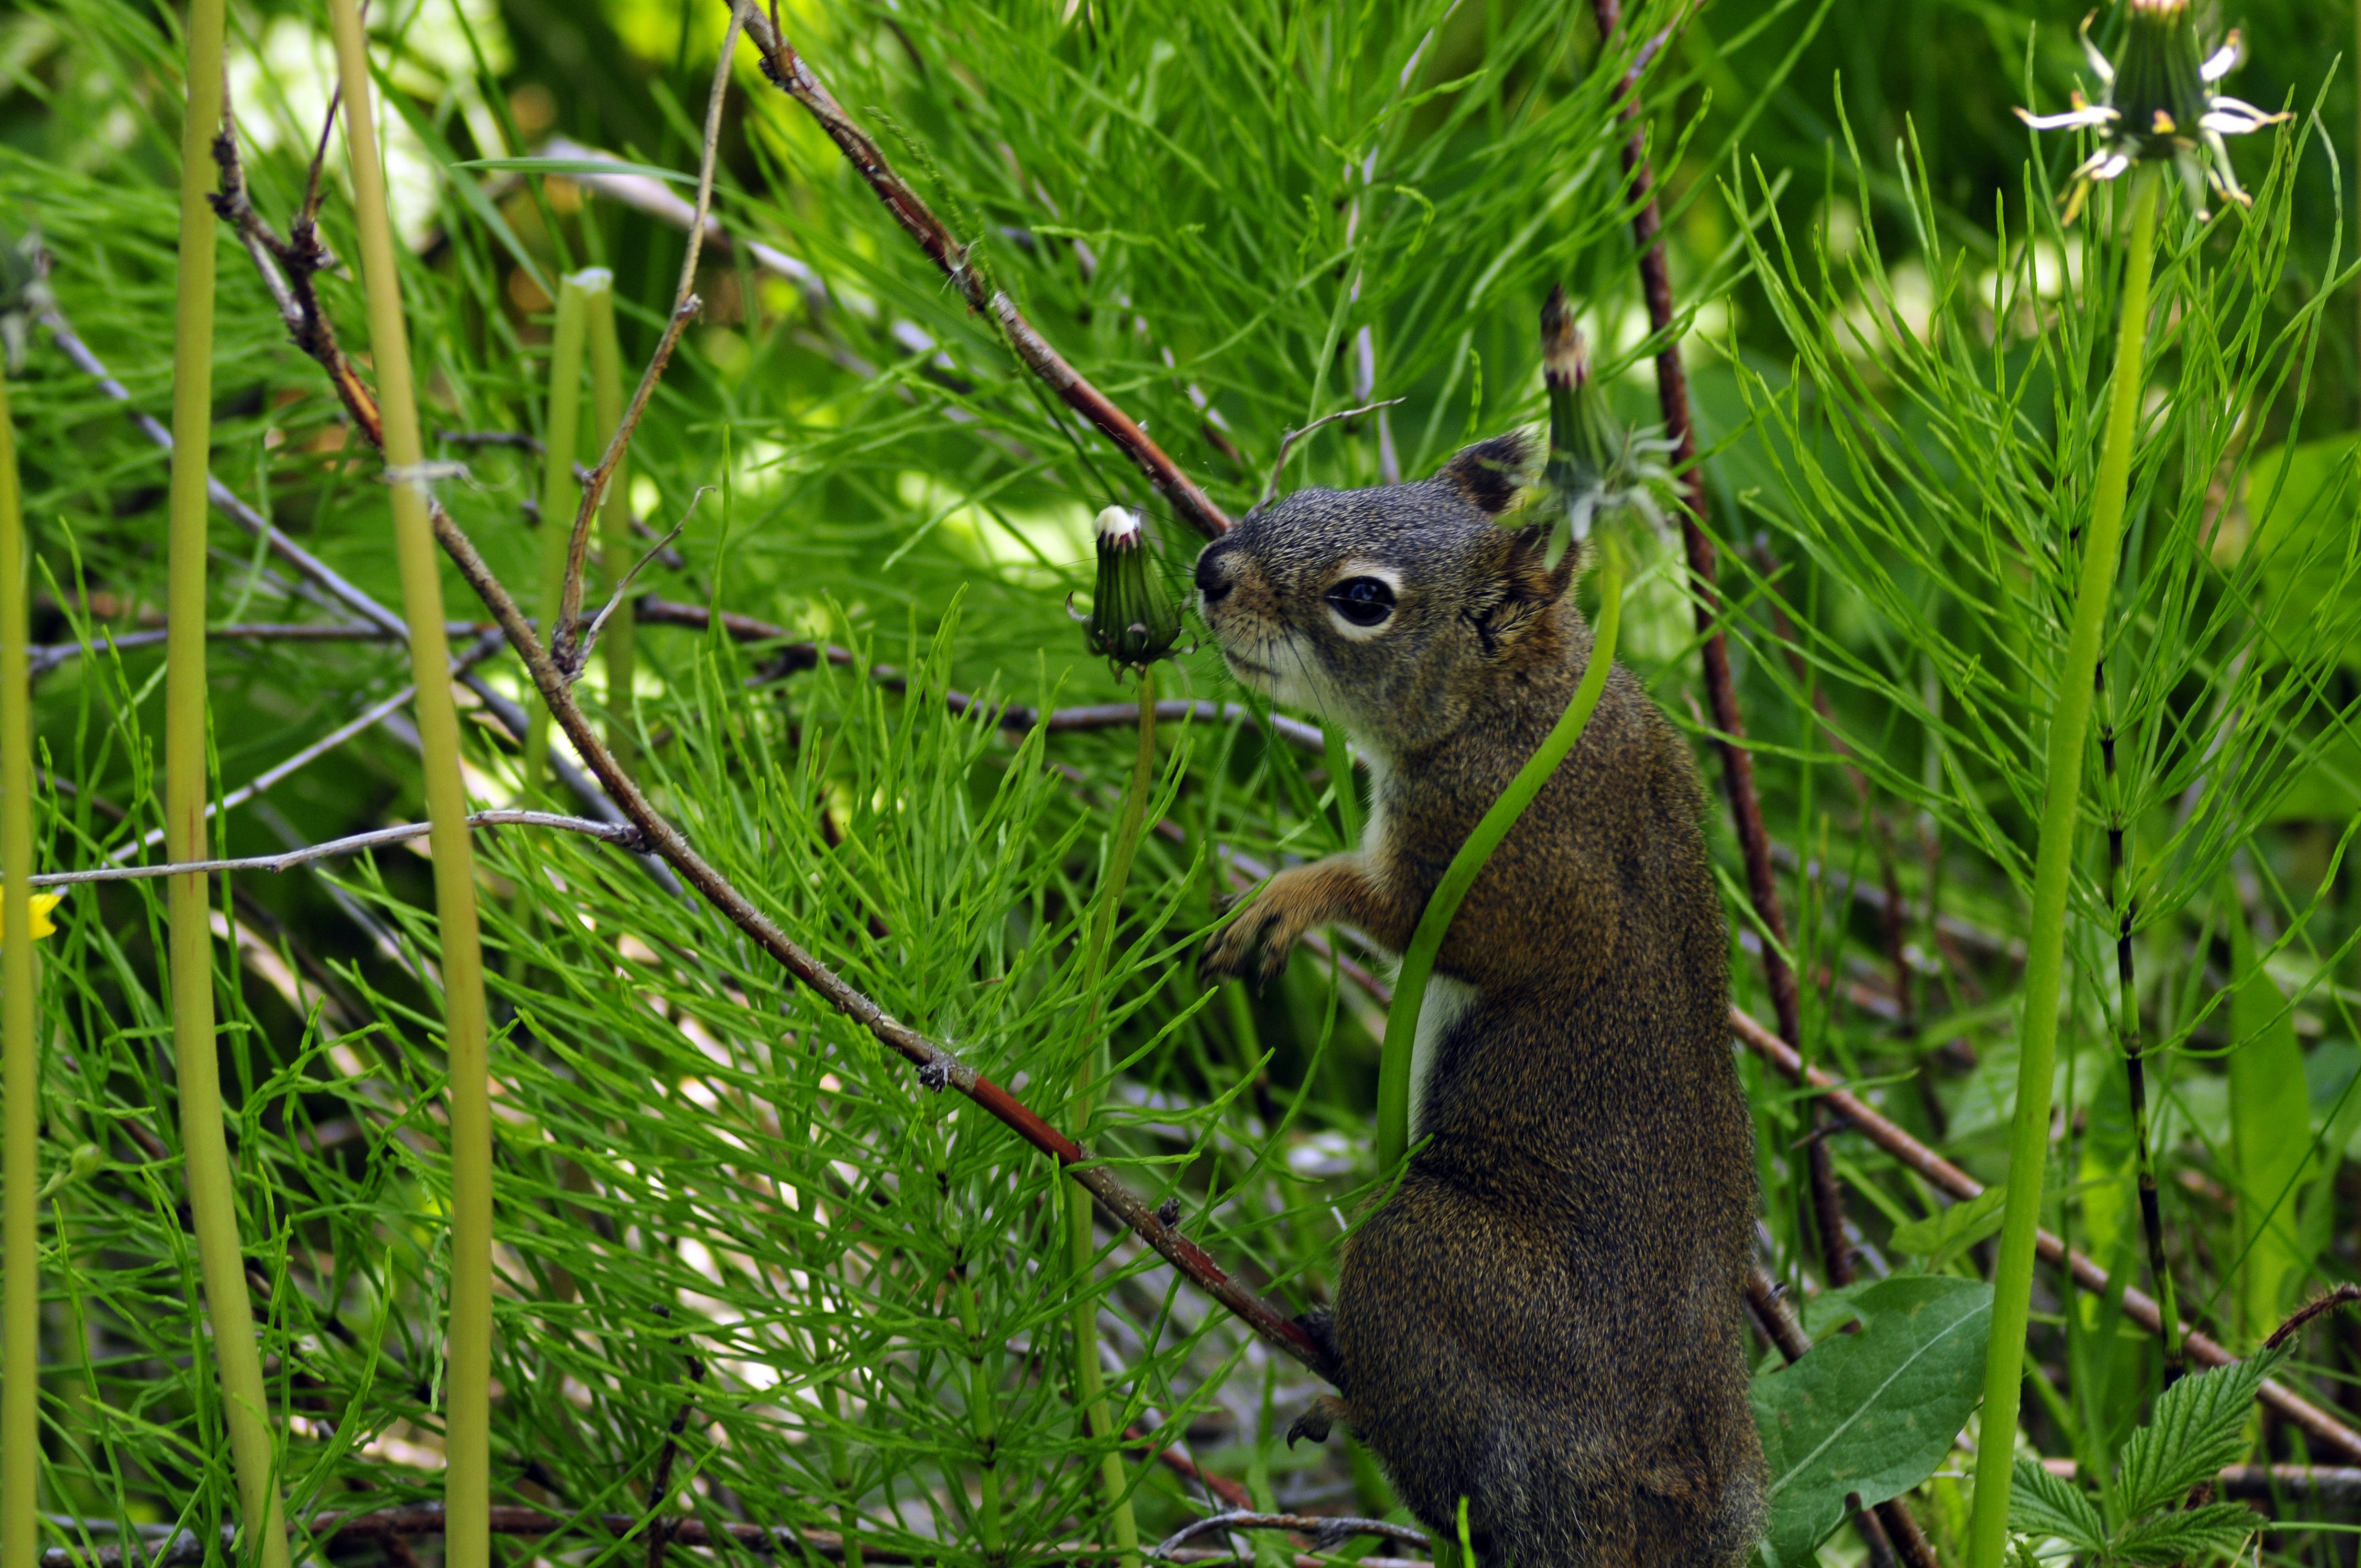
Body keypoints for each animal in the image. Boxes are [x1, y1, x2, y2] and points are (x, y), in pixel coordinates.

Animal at [1193, 433, 1765, 1566]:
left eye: (1363, 599)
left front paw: (1289, 897)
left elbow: (1437, 924)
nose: (1209, 570)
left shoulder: (1519, 864)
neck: (1521, 702)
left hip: (1428, 1264)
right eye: (1311, 490)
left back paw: (1357, 1401)